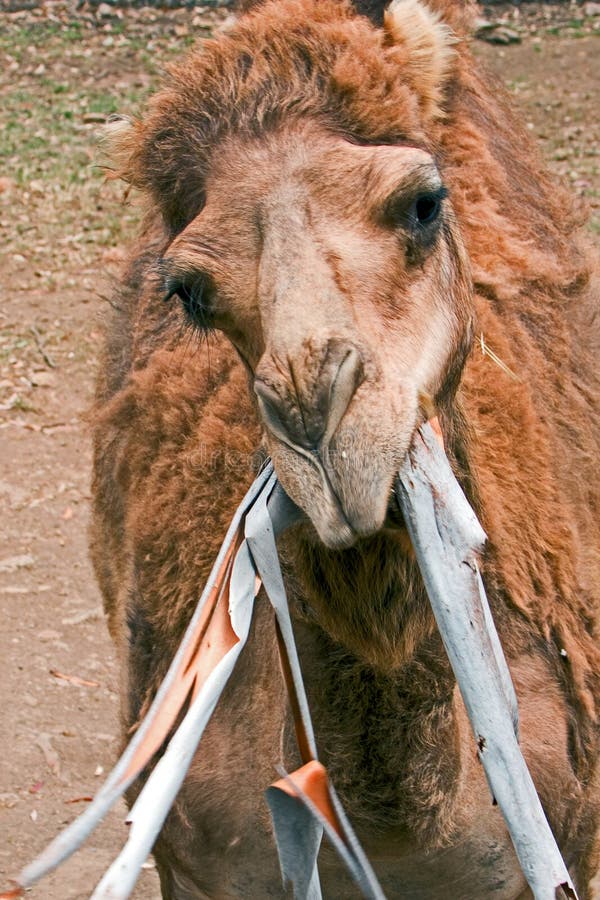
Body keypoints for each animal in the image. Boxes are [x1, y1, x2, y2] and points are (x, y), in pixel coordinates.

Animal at [90, 0, 600, 896]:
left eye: (425, 202)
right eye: (187, 290)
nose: (315, 417)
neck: (399, 849)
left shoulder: (571, 841)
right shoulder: (187, 861)